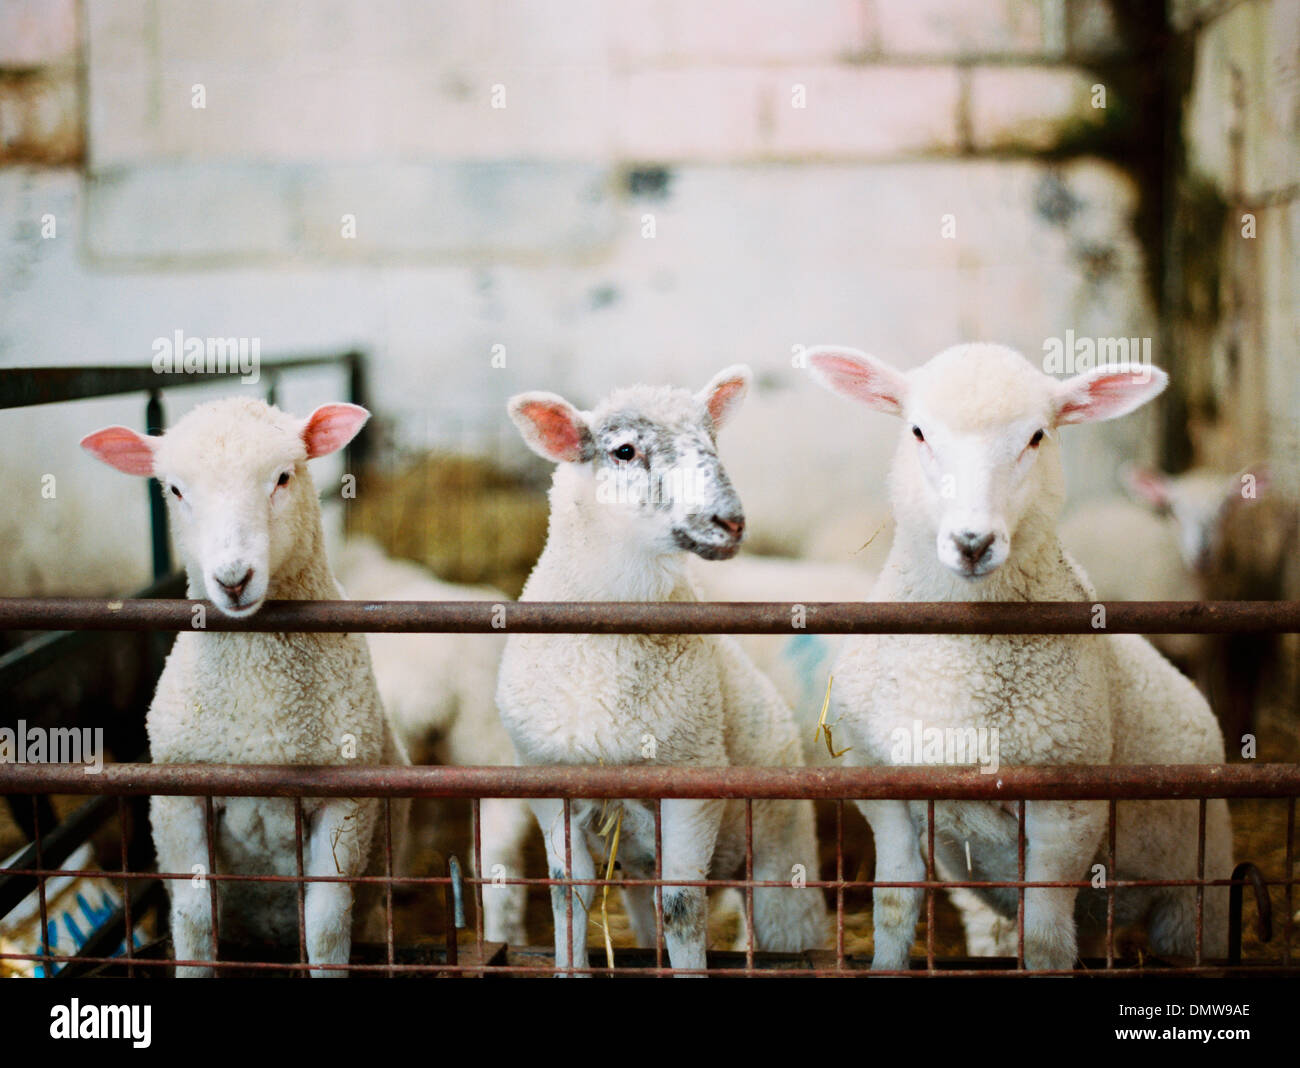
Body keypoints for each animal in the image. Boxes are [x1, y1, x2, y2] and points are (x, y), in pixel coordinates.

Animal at [81, 397, 410, 977]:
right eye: (175, 490)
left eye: (283, 477)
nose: (233, 579)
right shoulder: (180, 796)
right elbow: (192, 918)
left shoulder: (346, 800)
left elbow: (327, 924)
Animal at [496, 366, 828, 974]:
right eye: (625, 451)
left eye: (713, 443)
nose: (731, 520)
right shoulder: (547, 781)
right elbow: (568, 896)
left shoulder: (692, 779)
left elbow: (683, 905)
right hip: (636, 862)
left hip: (779, 850)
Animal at [805, 343, 1232, 971]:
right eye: (918, 432)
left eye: (1036, 437)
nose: (973, 542)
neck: (955, 665)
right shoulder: (880, 788)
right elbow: (893, 908)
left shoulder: (1068, 811)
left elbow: (1045, 940)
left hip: (1196, 894)